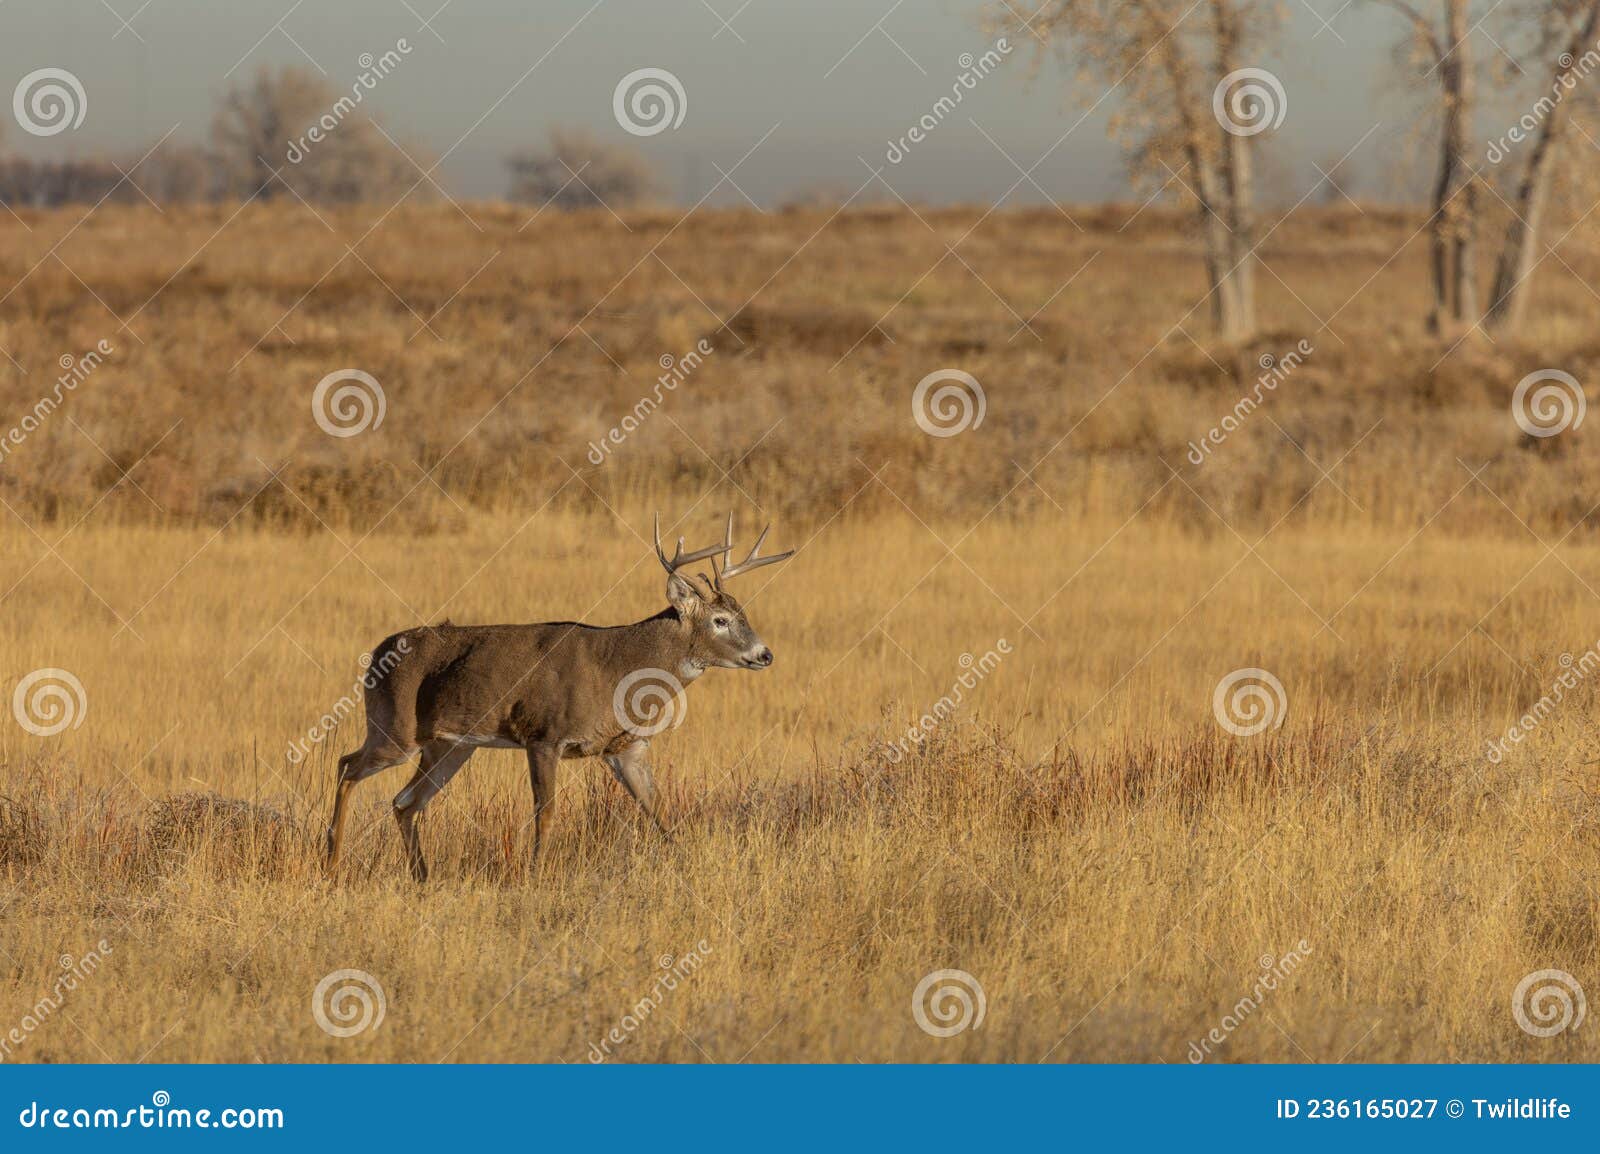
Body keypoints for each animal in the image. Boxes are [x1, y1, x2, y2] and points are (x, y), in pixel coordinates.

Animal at [323, 513, 793, 881]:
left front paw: (687, 867)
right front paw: (535, 876)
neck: (617, 669)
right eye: (720, 620)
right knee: (348, 766)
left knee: (405, 802)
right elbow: (544, 813)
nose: (765, 654)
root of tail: (378, 652)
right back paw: (332, 863)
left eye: (744, 614)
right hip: (395, 728)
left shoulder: (627, 748)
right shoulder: (544, 735)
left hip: (449, 747)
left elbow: (659, 812)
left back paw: (421, 876)